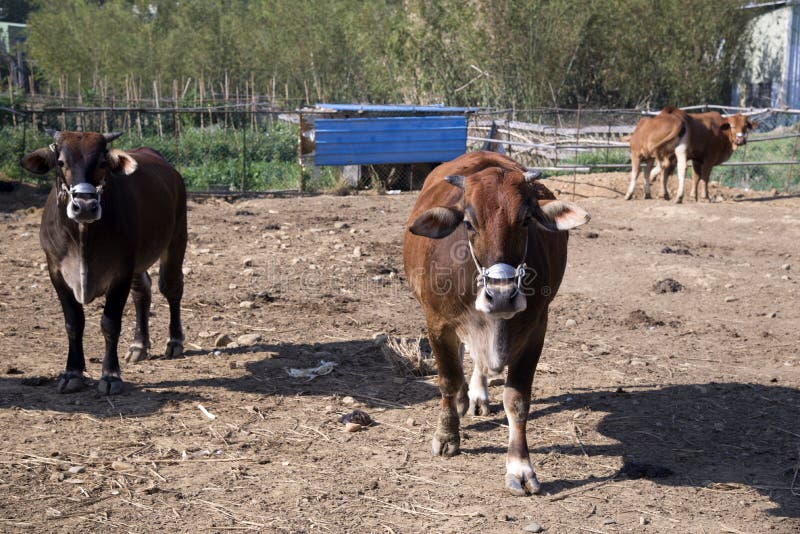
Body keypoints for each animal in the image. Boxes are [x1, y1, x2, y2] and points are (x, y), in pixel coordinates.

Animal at [21, 130, 187, 395]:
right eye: (61, 162)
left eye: (102, 163)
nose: (85, 206)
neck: (83, 236)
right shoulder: (56, 273)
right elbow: (73, 323)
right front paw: (72, 372)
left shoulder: (120, 273)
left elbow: (110, 324)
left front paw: (110, 375)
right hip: (138, 261)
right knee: (142, 291)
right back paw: (139, 346)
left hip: (176, 239)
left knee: (171, 288)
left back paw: (174, 341)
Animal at [403, 151, 590, 495]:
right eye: (468, 223)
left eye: (526, 220)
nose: (501, 296)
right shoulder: (437, 323)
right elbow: (448, 380)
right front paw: (447, 435)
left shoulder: (536, 329)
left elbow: (517, 400)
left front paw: (520, 467)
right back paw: (463, 399)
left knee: (480, 362)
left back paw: (477, 394)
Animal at [625, 107, 757, 202]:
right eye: (732, 125)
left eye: (745, 126)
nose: (740, 140)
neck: (720, 131)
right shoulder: (708, 159)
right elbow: (704, 177)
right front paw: (705, 196)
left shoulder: (696, 159)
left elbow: (696, 177)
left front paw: (694, 196)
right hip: (678, 151)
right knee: (674, 168)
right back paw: (675, 195)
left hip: (675, 151)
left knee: (670, 168)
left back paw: (672, 195)